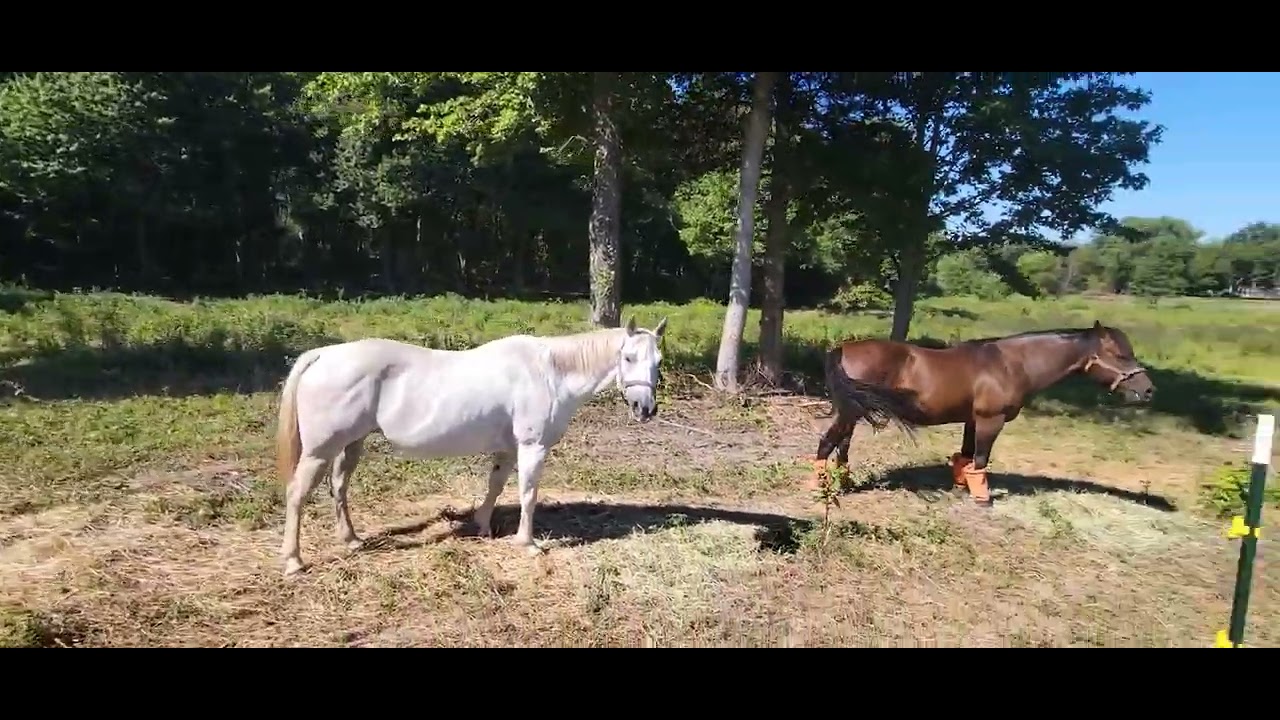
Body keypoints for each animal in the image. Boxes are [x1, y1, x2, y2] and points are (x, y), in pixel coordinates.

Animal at [273, 315, 668, 577]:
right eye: (628, 358)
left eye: (658, 362)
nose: (644, 409)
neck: (549, 373)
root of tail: (323, 355)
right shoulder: (532, 447)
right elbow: (528, 494)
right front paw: (528, 543)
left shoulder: (508, 448)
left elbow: (495, 486)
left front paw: (482, 526)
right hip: (319, 451)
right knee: (298, 495)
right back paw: (293, 561)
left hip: (350, 444)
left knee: (339, 487)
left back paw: (352, 540)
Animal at [813, 320, 1155, 507]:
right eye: (1120, 355)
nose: (1149, 390)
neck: (1010, 364)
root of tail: (842, 348)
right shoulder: (992, 420)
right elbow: (980, 459)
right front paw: (982, 498)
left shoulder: (972, 419)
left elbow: (965, 457)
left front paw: (960, 487)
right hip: (850, 412)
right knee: (826, 444)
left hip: (854, 412)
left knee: (842, 447)